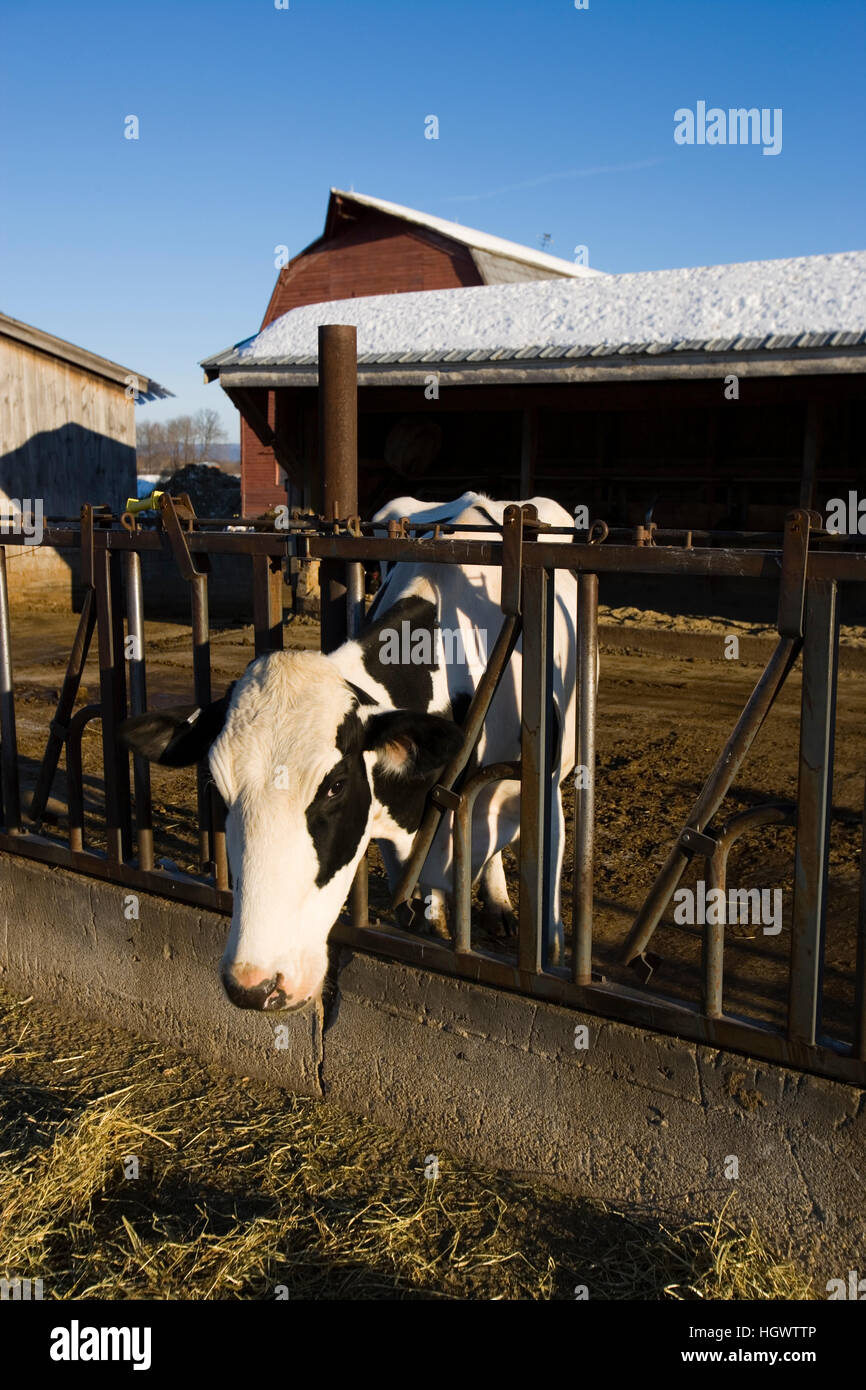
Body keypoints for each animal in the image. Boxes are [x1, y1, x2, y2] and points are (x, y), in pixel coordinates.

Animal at [119, 493, 579, 1012]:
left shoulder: (545, 784)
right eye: (216, 786)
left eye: (336, 785)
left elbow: (548, 888)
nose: (254, 985)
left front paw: (550, 952)